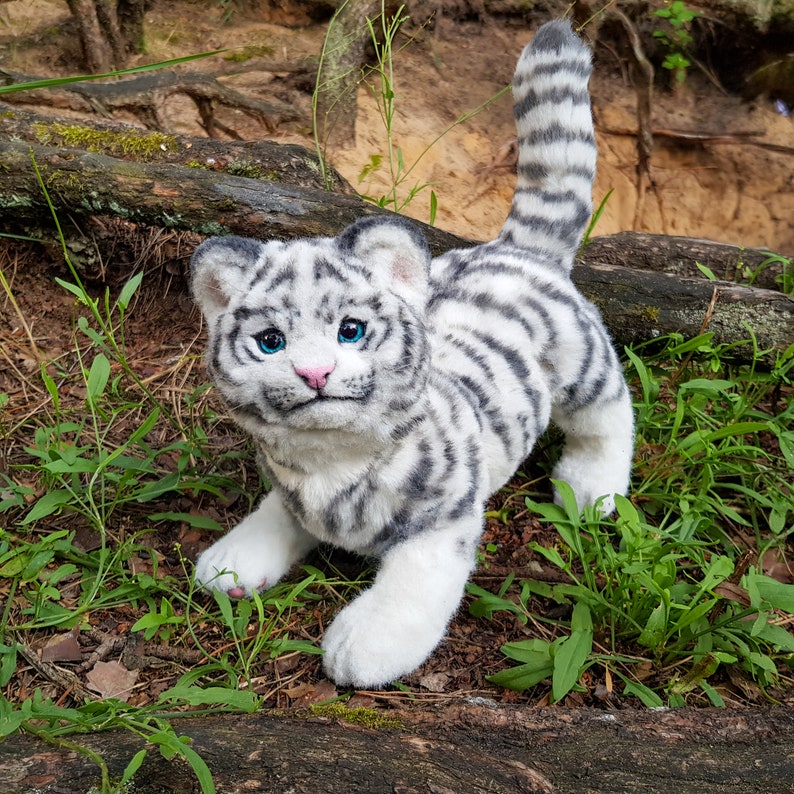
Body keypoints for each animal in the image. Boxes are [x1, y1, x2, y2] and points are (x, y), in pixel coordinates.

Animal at [189, 19, 634, 688]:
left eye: (350, 330)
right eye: (271, 341)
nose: (315, 372)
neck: (329, 461)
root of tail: (516, 247)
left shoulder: (444, 518)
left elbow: (411, 585)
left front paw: (365, 645)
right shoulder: (291, 490)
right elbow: (274, 515)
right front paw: (230, 563)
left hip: (584, 364)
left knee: (609, 414)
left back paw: (591, 488)